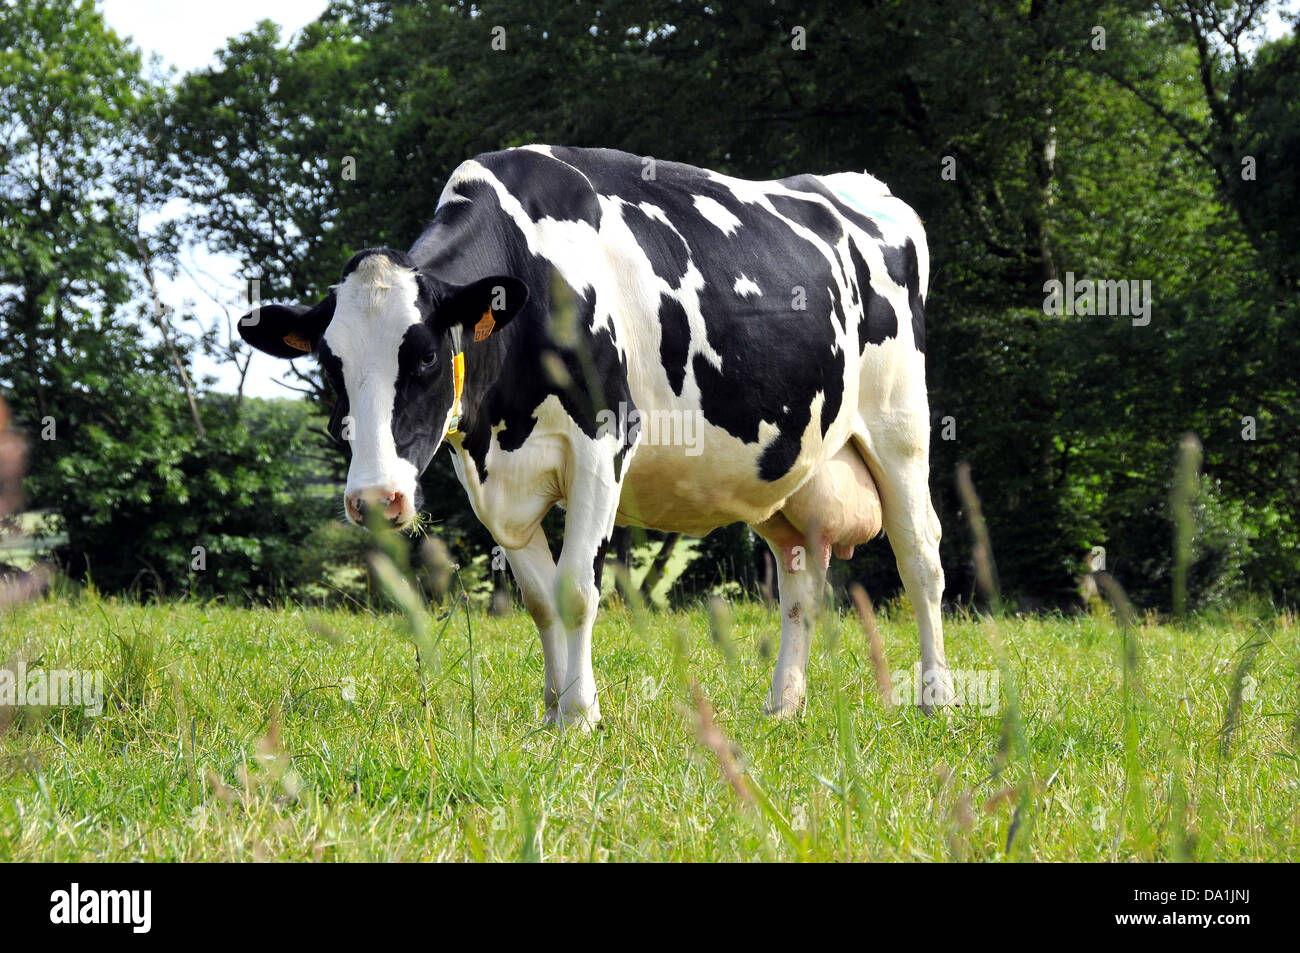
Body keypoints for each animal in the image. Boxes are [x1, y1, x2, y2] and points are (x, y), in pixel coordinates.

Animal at [238, 145, 956, 729]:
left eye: (426, 357)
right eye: (330, 365)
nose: (374, 499)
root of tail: (865, 187)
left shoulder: (602, 440)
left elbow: (576, 591)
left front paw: (582, 714)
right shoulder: (490, 478)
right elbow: (538, 599)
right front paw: (552, 711)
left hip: (900, 427)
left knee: (921, 558)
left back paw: (936, 700)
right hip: (788, 471)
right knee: (801, 585)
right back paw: (784, 706)